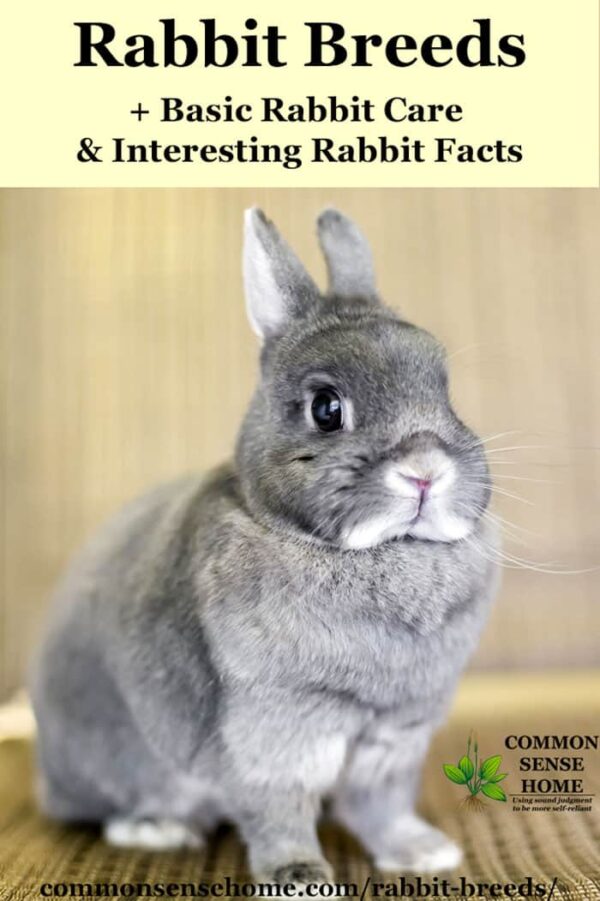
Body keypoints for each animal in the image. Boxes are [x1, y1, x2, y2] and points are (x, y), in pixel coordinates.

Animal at [31, 208, 499, 886]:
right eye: (326, 408)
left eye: (446, 390)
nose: (425, 472)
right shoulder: (275, 729)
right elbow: (279, 810)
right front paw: (302, 877)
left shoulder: (394, 737)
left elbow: (380, 805)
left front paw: (423, 853)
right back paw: (156, 829)